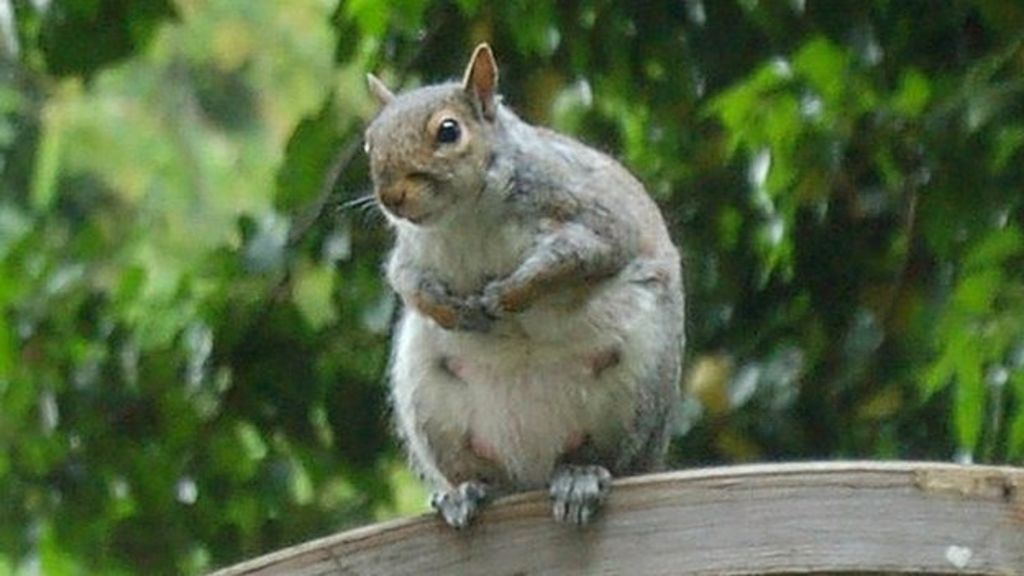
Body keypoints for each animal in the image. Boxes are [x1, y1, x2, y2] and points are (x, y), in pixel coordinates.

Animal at [364, 44, 684, 529]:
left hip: (638, 383)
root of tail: (532, 469)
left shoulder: (588, 214)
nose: (390, 197)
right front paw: (450, 308)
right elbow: (406, 283)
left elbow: (578, 256)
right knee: (479, 473)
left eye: (448, 131)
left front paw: (509, 293)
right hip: (428, 398)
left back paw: (580, 477)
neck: (464, 216)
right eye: (369, 140)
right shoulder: (411, 252)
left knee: (604, 455)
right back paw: (465, 491)